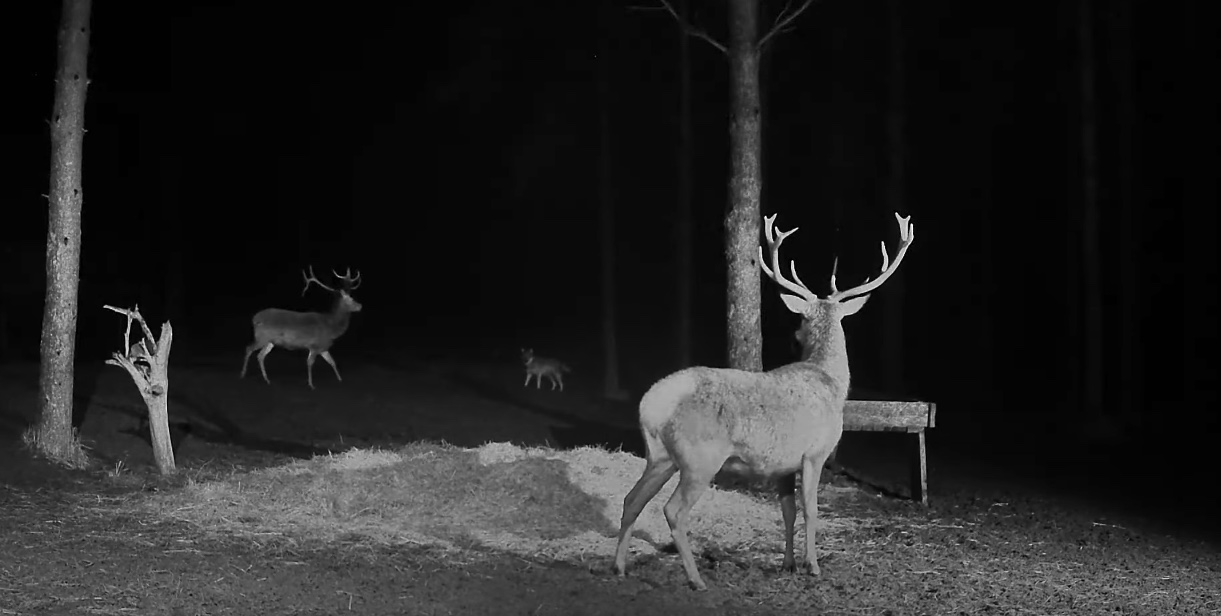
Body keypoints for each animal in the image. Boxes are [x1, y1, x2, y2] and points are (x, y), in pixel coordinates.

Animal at [613, 212, 915, 591]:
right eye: (802, 318)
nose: (794, 335)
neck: (831, 381)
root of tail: (653, 404)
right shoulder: (815, 452)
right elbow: (811, 508)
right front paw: (812, 566)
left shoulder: (783, 464)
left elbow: (788, 510)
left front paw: (787, 563)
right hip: (699, 458)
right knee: (673, 511)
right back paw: (696, 579)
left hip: (659, 455)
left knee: (630, 500)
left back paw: (619, 567)